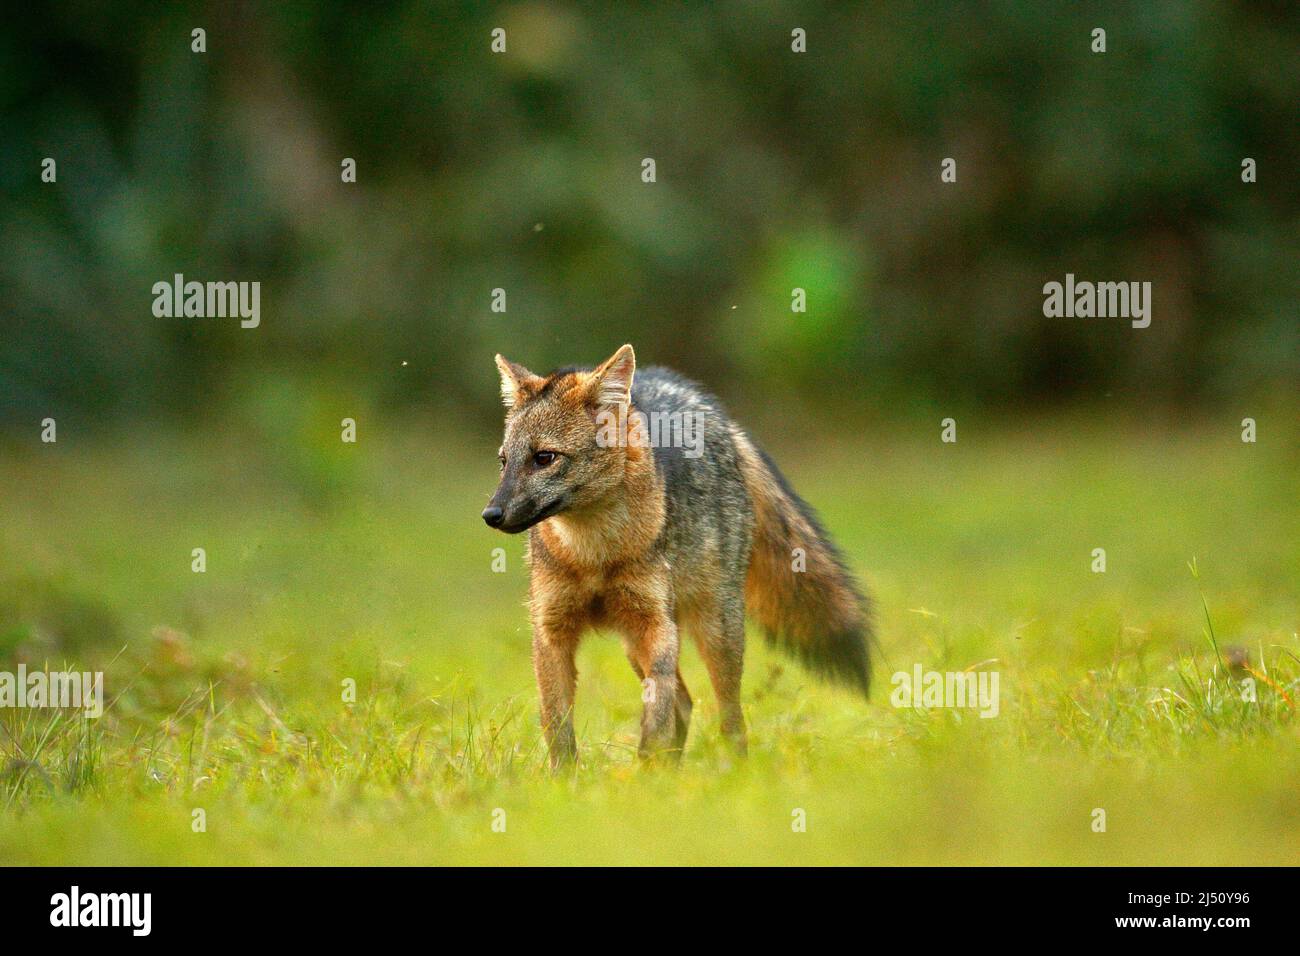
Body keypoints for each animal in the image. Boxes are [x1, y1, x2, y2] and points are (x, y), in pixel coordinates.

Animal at [483, 344, 872, 768]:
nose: (491, 514)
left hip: (715, 630)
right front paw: (567, 781)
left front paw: (646, 764)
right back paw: (667, 772)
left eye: (544, 458)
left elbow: (657, 710)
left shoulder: (657, 626)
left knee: (728, 717)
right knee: (685, 704)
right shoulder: (551, 631)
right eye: (504, 462)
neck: (595, 557)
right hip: (634, 643)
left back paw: (730, 771)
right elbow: (559, 728)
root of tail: (712, 409)